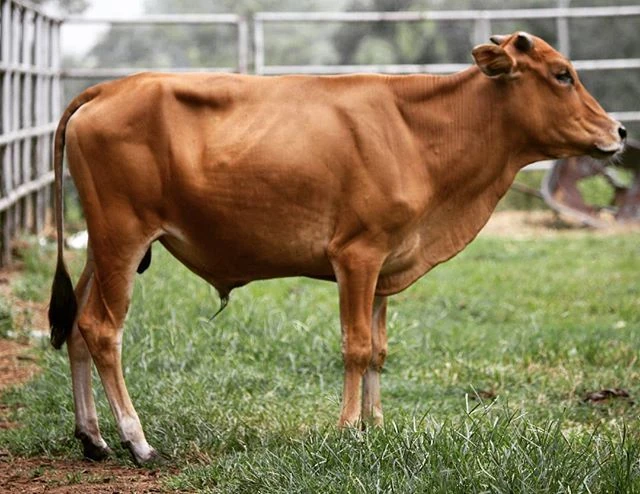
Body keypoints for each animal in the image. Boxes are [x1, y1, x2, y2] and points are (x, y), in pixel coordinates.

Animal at [48, 32, 626, 465]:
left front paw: (376, 424)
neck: (420, 132)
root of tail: (106, 90)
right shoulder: (357, 255)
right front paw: (350, 428)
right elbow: (356, 346)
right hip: (122, 237)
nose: (620, 130)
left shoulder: (386, 264)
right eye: (562, 74)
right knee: (103, 329)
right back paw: (136, 439)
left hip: (102, 246)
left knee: (77, 326)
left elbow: (380, 349)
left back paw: (93, 438)